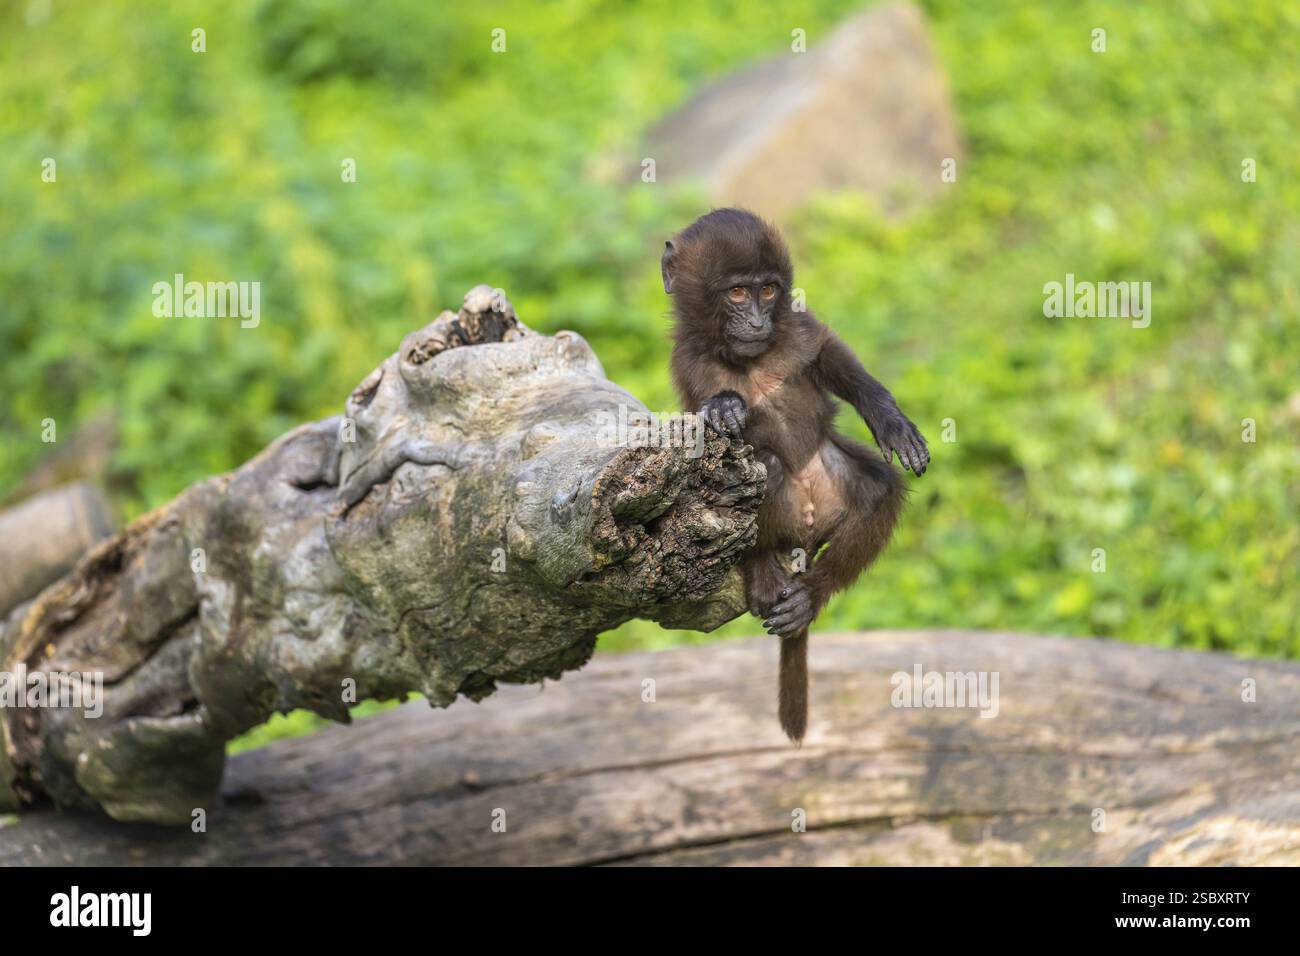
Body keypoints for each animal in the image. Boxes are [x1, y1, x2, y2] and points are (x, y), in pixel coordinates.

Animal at [662, 208, 929, 744]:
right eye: (736, 293)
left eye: (768, 290)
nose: (758, 321)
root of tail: (803, 535)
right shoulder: (689, 358)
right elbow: (706, 418)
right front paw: (722, 407)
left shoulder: (797, 327)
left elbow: (828, 354)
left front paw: (888, 417)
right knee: (763, 467)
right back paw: (762, 565)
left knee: (878, 487)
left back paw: (810, 594)